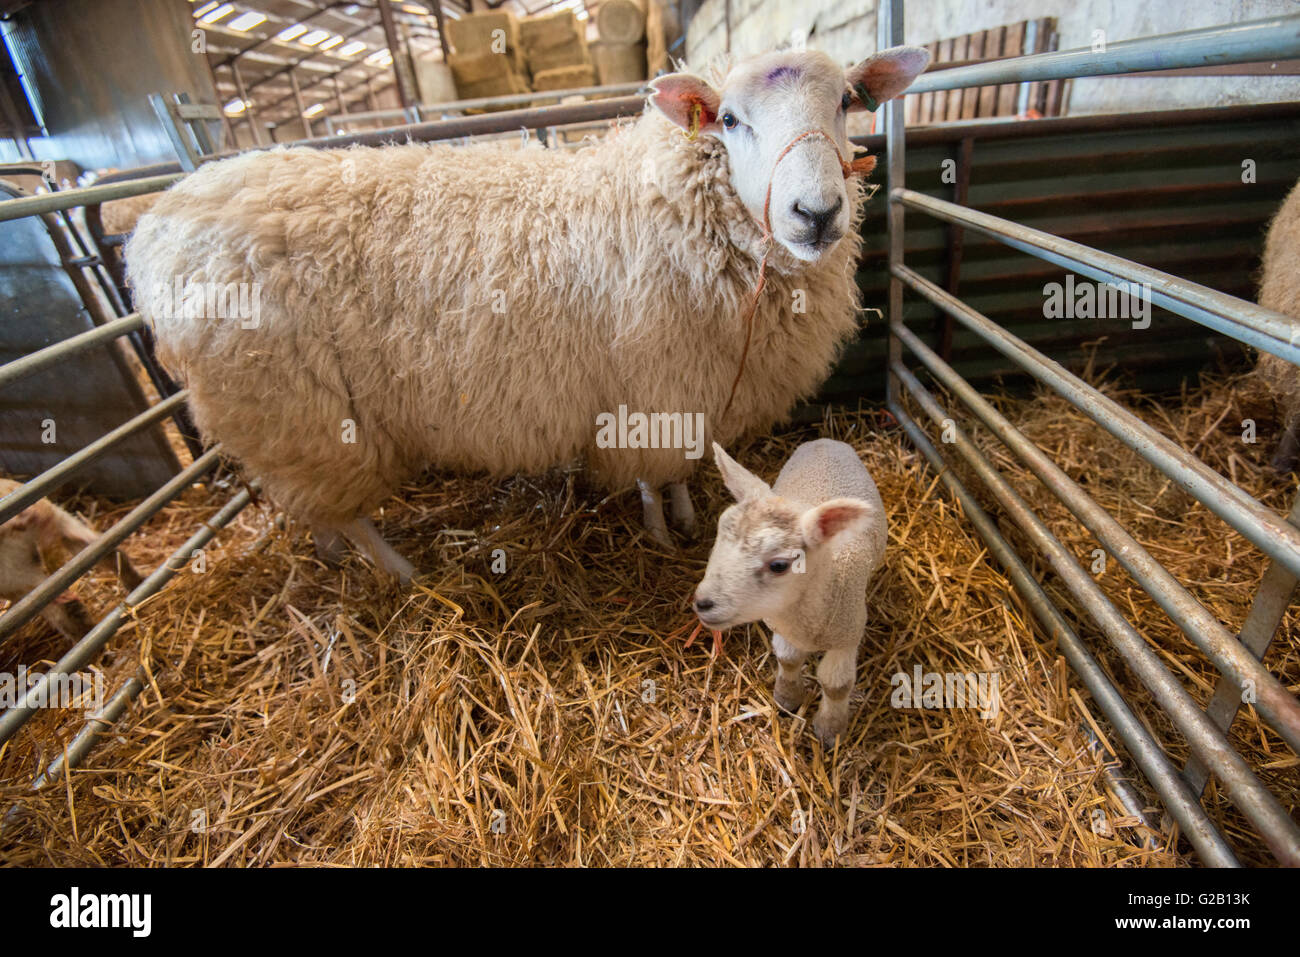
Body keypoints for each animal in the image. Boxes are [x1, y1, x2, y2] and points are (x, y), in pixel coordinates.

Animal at [124, 45, 929, 578]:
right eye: (729, 119)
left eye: (848, 100)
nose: (816, 214)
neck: (677, 208)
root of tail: (160, 224)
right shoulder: (648, 389)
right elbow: (651, 476)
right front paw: (664, 533)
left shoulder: (685, 389)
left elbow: (677, 471)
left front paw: (687, 513)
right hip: (300, 417)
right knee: (346, 509)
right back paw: (399, 573)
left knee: (319, 510)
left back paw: (332, 555)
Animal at [692, 439, 886, 747]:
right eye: (719, 533)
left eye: (779, 565)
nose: (703, 603)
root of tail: (824, 441)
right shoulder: (782, 625)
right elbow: (788, 659)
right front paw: (786, 697)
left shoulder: (848, 634)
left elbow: (836, 685)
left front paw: (830, 730)